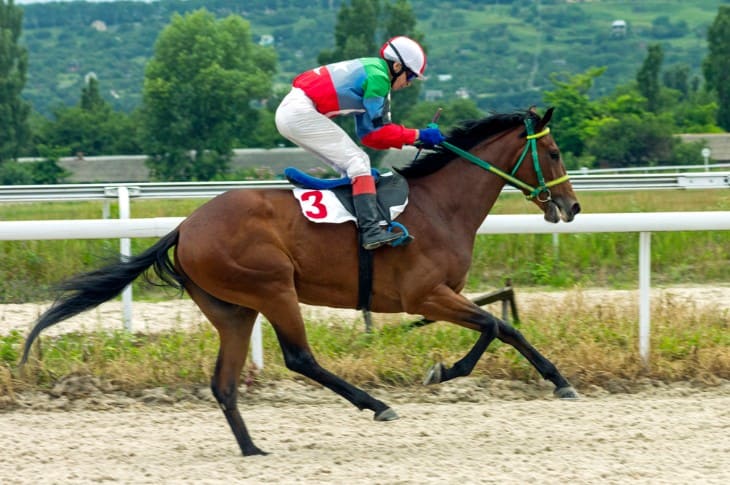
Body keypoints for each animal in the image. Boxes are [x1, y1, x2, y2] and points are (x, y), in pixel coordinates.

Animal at [21, 107, 581, 456]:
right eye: (554, 152)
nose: (572, 206)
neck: (439, 205)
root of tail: (184, 226)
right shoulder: (424, 295)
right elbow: (494, 326)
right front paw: (446, 371)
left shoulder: (442, 295)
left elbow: (503, 326)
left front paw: (557, 380)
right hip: (273, 287)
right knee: (299, 358)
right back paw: (376, 406)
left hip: (234, 309)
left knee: (224, 382)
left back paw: (251, 448)